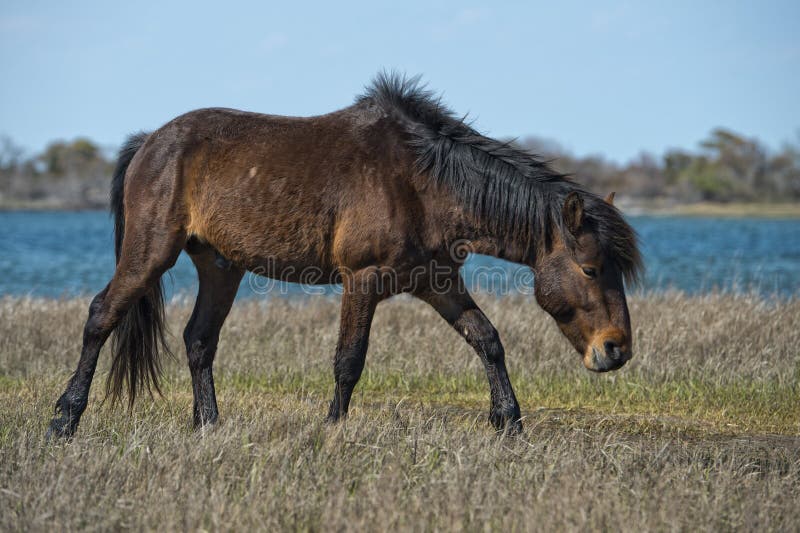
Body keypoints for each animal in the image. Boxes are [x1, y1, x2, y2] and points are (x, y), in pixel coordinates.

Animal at [47, 73, 642, 438]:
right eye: (591, 268)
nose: (616, 350)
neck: (422, 181)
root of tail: (150, 142)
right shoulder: (363, 280)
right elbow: (349, 360)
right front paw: (332, 428)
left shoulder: (436, 282)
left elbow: (487, 340)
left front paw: (510, 422)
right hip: (150, 253)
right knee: (102, 316)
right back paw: (64, 420)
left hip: (220, 266)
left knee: (199, 340)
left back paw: (208, 426)